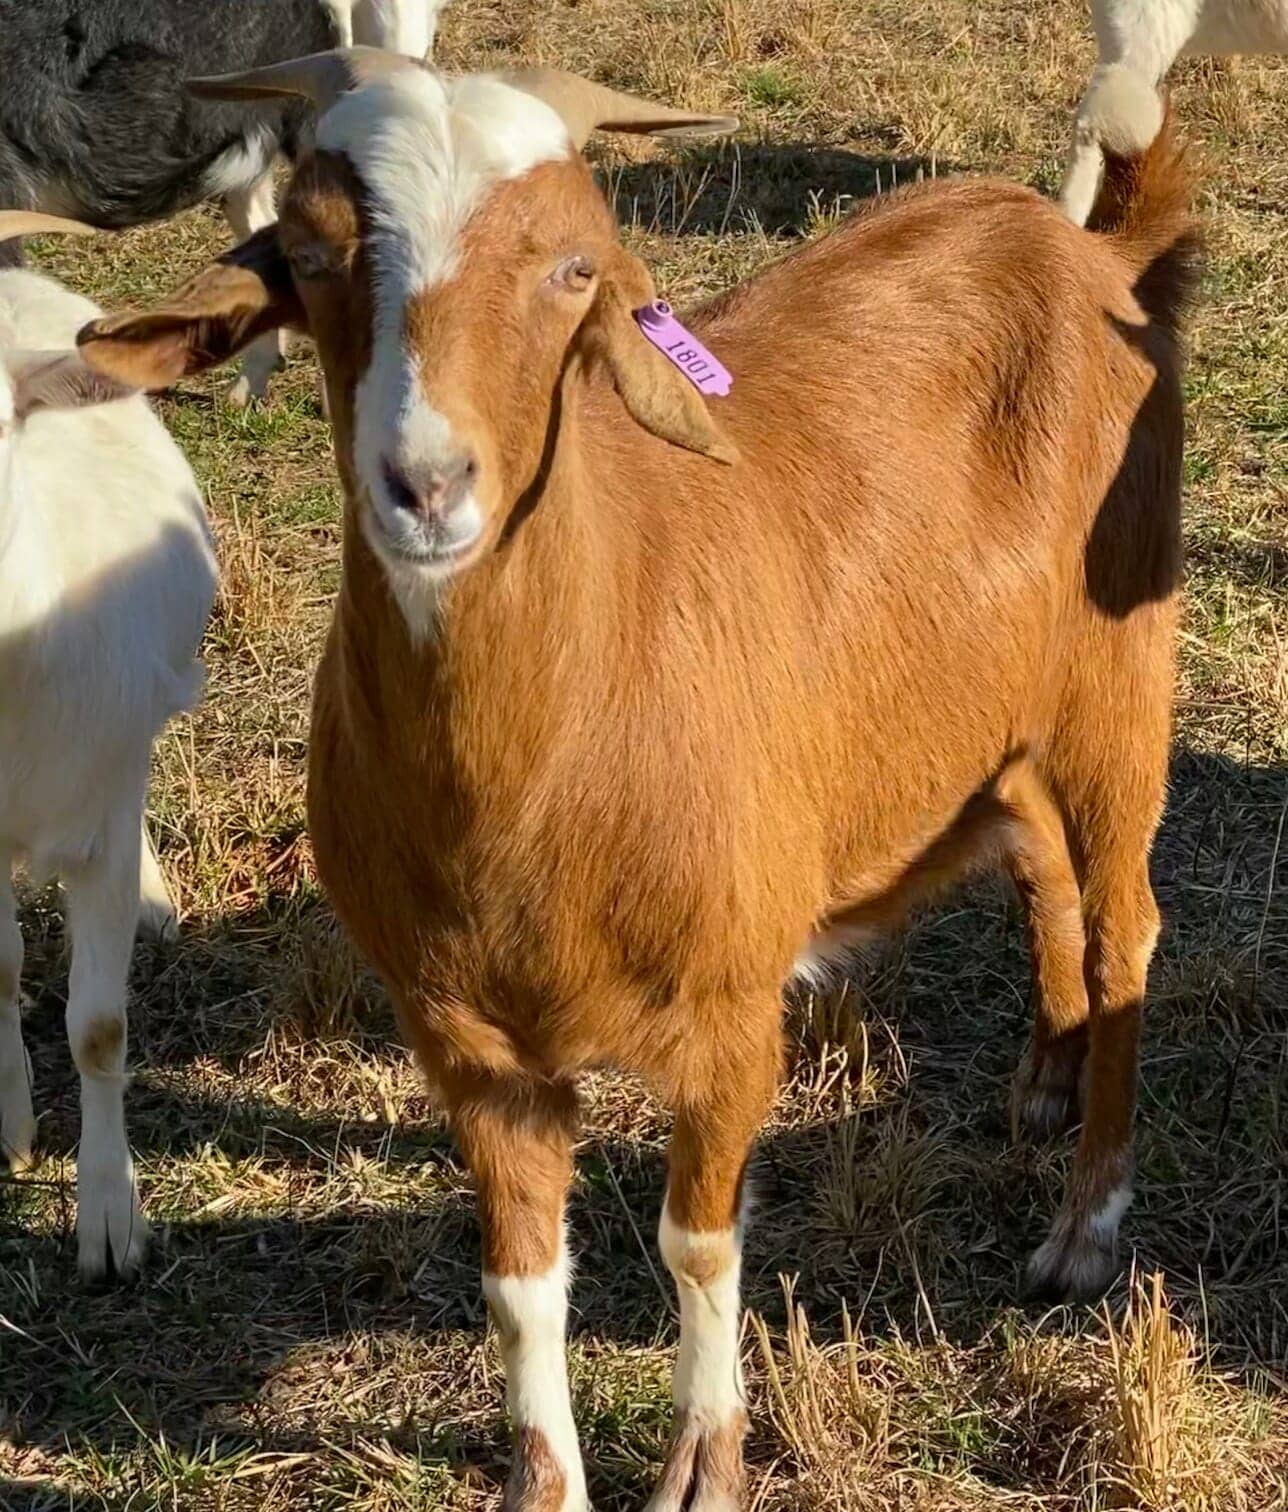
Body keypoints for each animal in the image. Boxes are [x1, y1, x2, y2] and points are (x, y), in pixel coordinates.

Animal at [78, 50, 1198, 1508]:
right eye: (311, 257)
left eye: (574, 271)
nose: (425, 485)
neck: (539, 774)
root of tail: (1091, 252)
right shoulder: (463, 1043)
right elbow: (519, 1284)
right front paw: (545, 1479)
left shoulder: (731, 1014)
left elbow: (696, 1245)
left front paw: (707, 1462)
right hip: (983, 718)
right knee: (1040, 862)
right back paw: (1047, 1077)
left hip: (1118, 675)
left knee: (1126, 921)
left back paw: (1086, 1224)